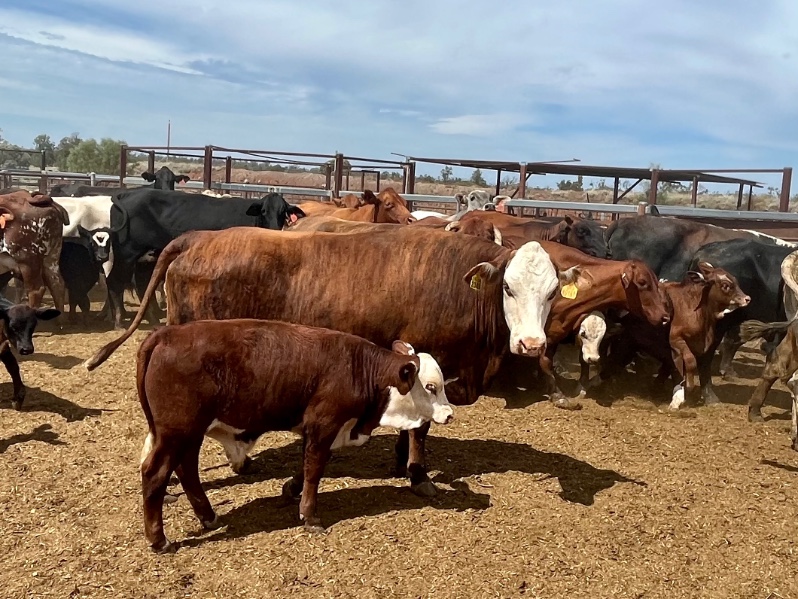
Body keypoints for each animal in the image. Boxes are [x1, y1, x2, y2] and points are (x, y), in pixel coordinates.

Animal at [86, 226, 576, 495]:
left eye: (553, 291)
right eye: (508, 287)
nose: (531, 344)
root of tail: (198, 238)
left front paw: (401, 461)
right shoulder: (427, 364)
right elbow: (421, 426)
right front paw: (418, 475)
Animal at [103, 189, 306, 328]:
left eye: (284, 213)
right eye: (263, 211)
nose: (274, 229)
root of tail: (129, 192)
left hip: (148, 256)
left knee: (143, 284)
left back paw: (151, 318)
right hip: (126, 254)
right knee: (114, 281)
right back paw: (119, 319)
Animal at [135, 319, 452, 552]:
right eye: (431, 387)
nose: (449, 414)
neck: (359, 368)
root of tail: (165, 334)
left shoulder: (324, 431)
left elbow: (309, 464)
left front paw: (291, 489)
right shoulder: (324, 424)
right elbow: (314, 470)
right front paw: (309, 515)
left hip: (188, 434)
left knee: (186, 468)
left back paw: (209, 517)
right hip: (176, 433)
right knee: (155, 474)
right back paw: (159, 540)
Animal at [598, 263, 750, 409]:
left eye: (735, 281)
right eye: (725, 285)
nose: (747, 298)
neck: (694, 309)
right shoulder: (676, 340)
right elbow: (689, 361)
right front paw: (687, 387)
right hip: (625, 343)